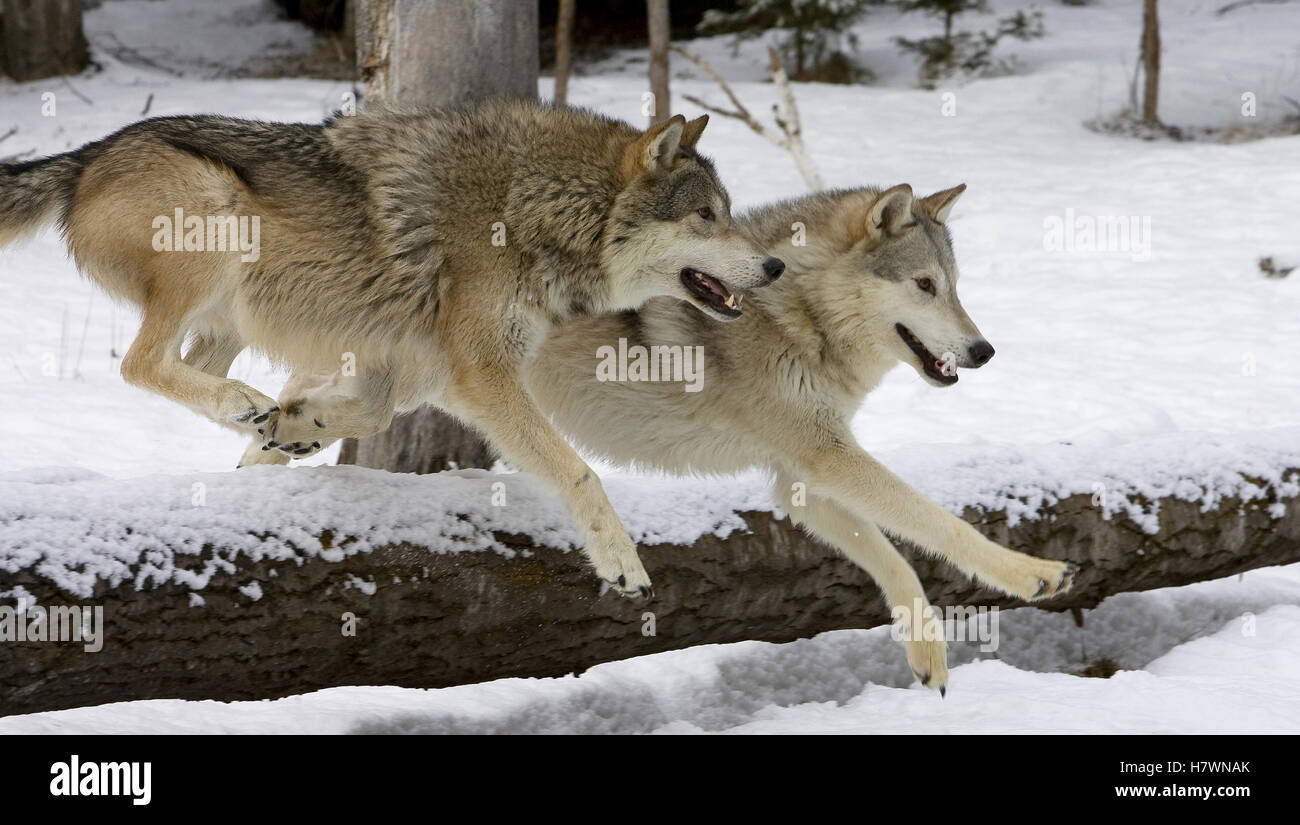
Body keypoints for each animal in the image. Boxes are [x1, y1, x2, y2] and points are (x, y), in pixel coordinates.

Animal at [0, 100, 785, 598]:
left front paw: (291, 434)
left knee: (184, 370)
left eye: (727, 212)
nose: (776, 266)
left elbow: (358, 416)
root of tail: (88, 154)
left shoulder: (410, 368)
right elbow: (581, 472)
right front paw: (622, 563)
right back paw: (239, 402)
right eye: (706, 215)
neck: (539, 209)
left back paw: (250, 416)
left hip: (233, 316)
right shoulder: (480, 375)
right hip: (217, 216)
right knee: (138, 364)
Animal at [523, 183, 1077, 692]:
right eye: (924, 284)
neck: (796, 316)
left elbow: (896, 560)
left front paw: (927, 653)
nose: (984, 351)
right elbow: (943, 525)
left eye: (955, 287)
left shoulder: (799, 480)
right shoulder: (827, 456)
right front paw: (1032, 573)